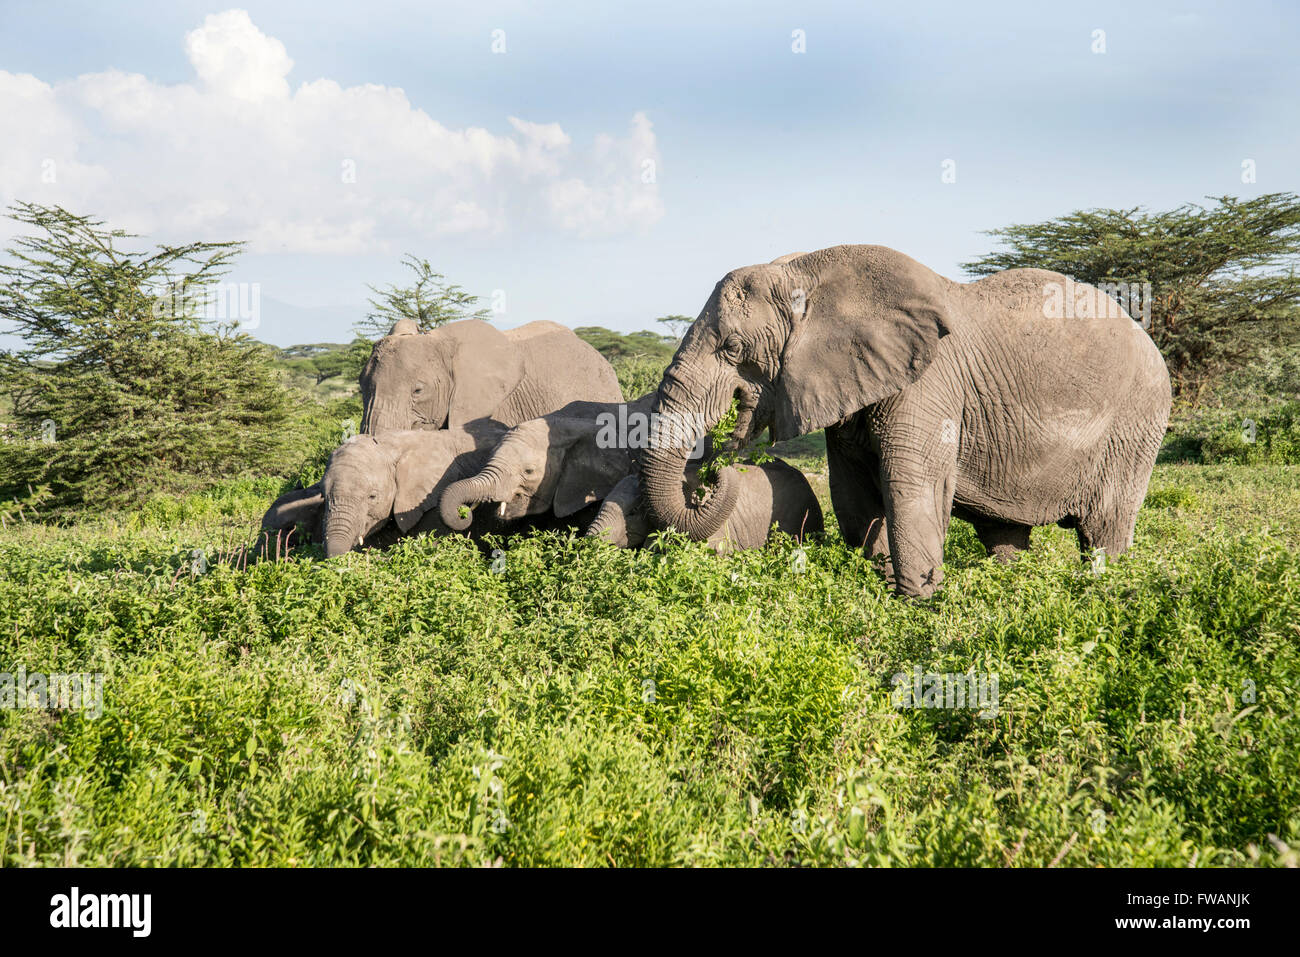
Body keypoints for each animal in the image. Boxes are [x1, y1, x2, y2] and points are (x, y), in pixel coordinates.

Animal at [637, 245, 1172, 598]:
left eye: (733, 348)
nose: (714, 473)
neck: (803, 272)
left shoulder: (928, 384)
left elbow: (910, 488)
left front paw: (917, 607)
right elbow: (853, 495)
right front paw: (880, 583)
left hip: (1135, 424)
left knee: (1103, 531)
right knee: (1005, 536)